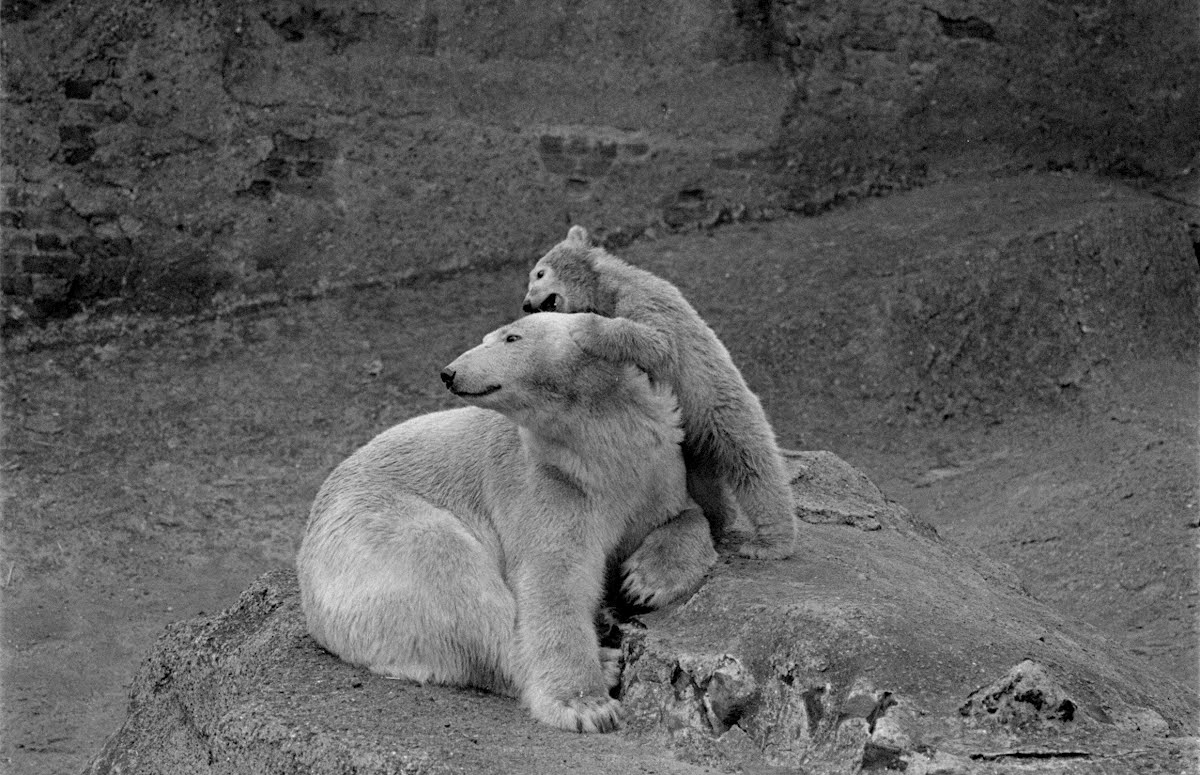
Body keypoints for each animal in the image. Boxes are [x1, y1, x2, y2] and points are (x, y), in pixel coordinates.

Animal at [296, 311, 716, 734]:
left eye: (511, 338)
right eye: (490, 338)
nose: (449, 373)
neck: (602, 448)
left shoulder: (653, 468)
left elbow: (686, 514)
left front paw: (644, 583)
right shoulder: (545, 483)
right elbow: (554, 580)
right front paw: (586, 706)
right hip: (375, 533)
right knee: (456, 584)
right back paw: (606, 662)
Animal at [521, 225, 797, 561]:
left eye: (539, 273)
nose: (526, 303)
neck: (608, 284)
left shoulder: (643, 298)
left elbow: (658, 342)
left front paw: (583, 328)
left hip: (720, 409)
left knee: (752, 465)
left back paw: (769, 542)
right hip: (692, 443)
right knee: (704, 482)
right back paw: (716, 519)